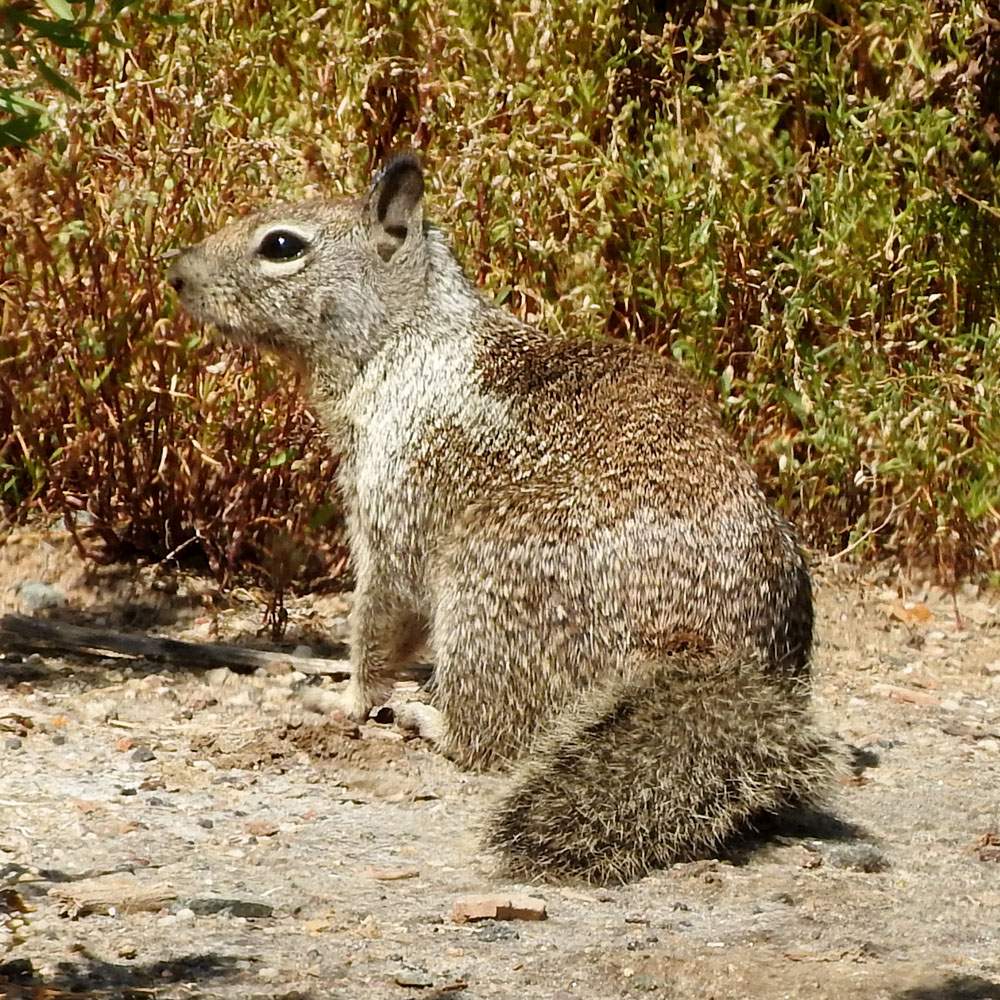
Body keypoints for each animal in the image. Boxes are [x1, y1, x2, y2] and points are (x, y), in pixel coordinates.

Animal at [167, 153, 843, 884]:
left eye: (282, 245)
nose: (176, 272)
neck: (404, 339)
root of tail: (712, 650)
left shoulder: (391, 511)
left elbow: (379, 623)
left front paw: (343, 699)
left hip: (484, 596)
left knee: (491, 736)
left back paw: (426, 720)